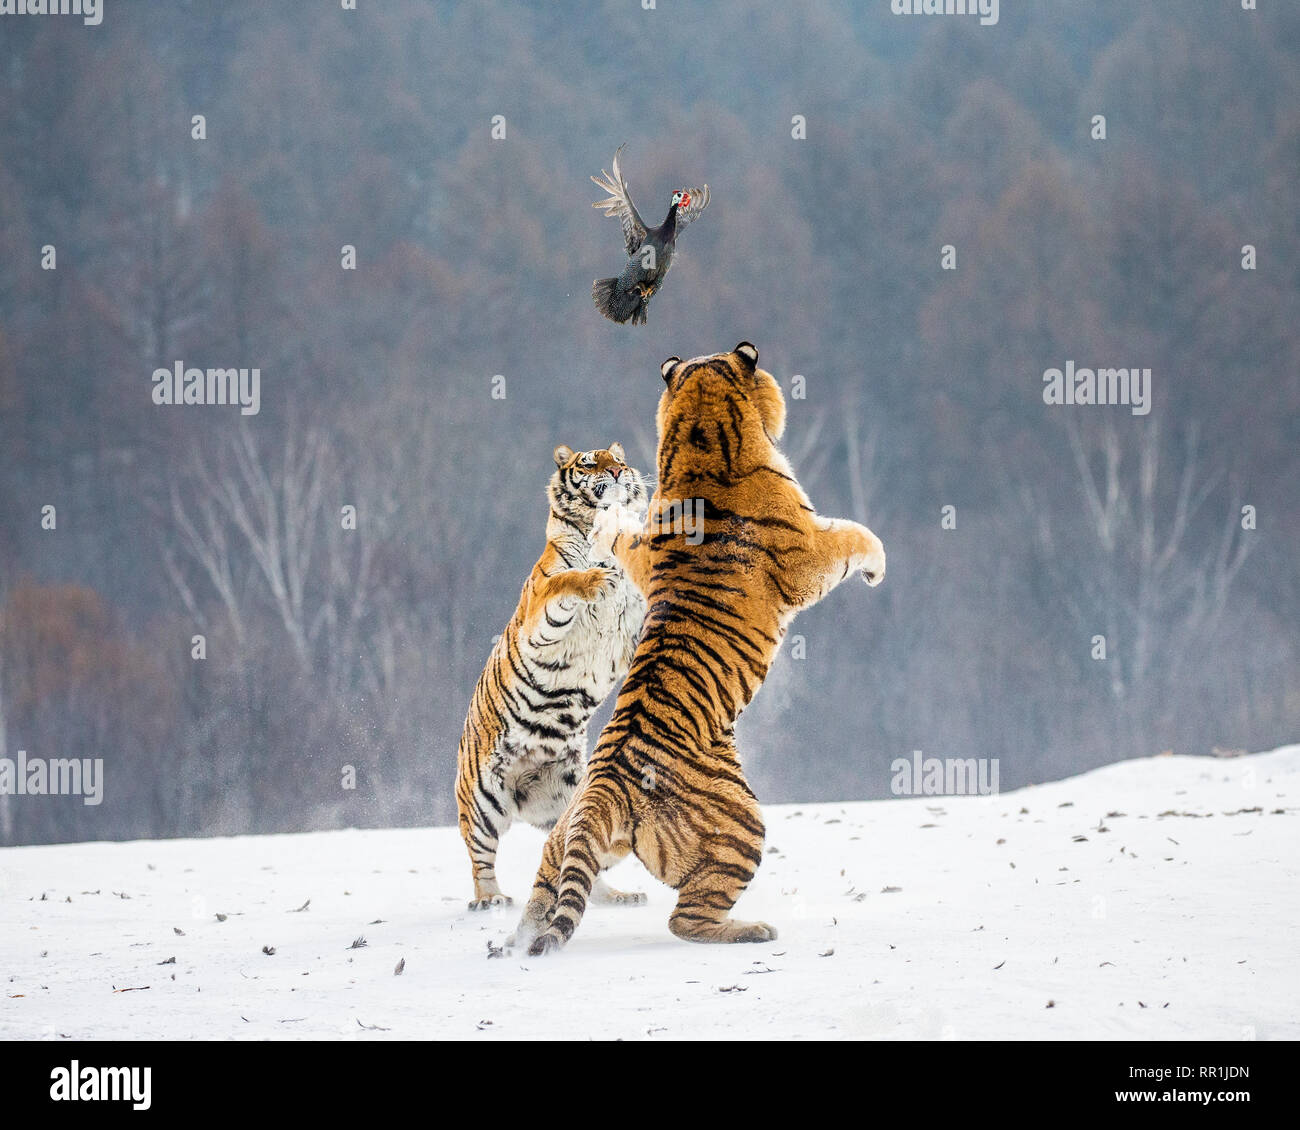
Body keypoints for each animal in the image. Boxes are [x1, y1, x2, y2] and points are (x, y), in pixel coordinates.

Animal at [454, 442, 650, 910]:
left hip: (577, 796)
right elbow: (568, 581)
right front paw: (597, 577)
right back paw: (490, 900)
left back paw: (618, 896)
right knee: (480, 859)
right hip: (480, 802)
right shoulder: (542, 614)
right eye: (590, 462)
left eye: (618, 459)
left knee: (576, 850)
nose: (618, 472)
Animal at [510, 342, 886, 954]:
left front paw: (607, 514)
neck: (701, 440)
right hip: (742, 825)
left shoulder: (643, 557)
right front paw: (877, 566)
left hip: (568, 837)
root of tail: (603, 788)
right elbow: (855, 534)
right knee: (685, 920)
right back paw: (754, 930)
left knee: (549, 883)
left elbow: (619, 537)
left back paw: (513, 939)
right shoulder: (809, 552)